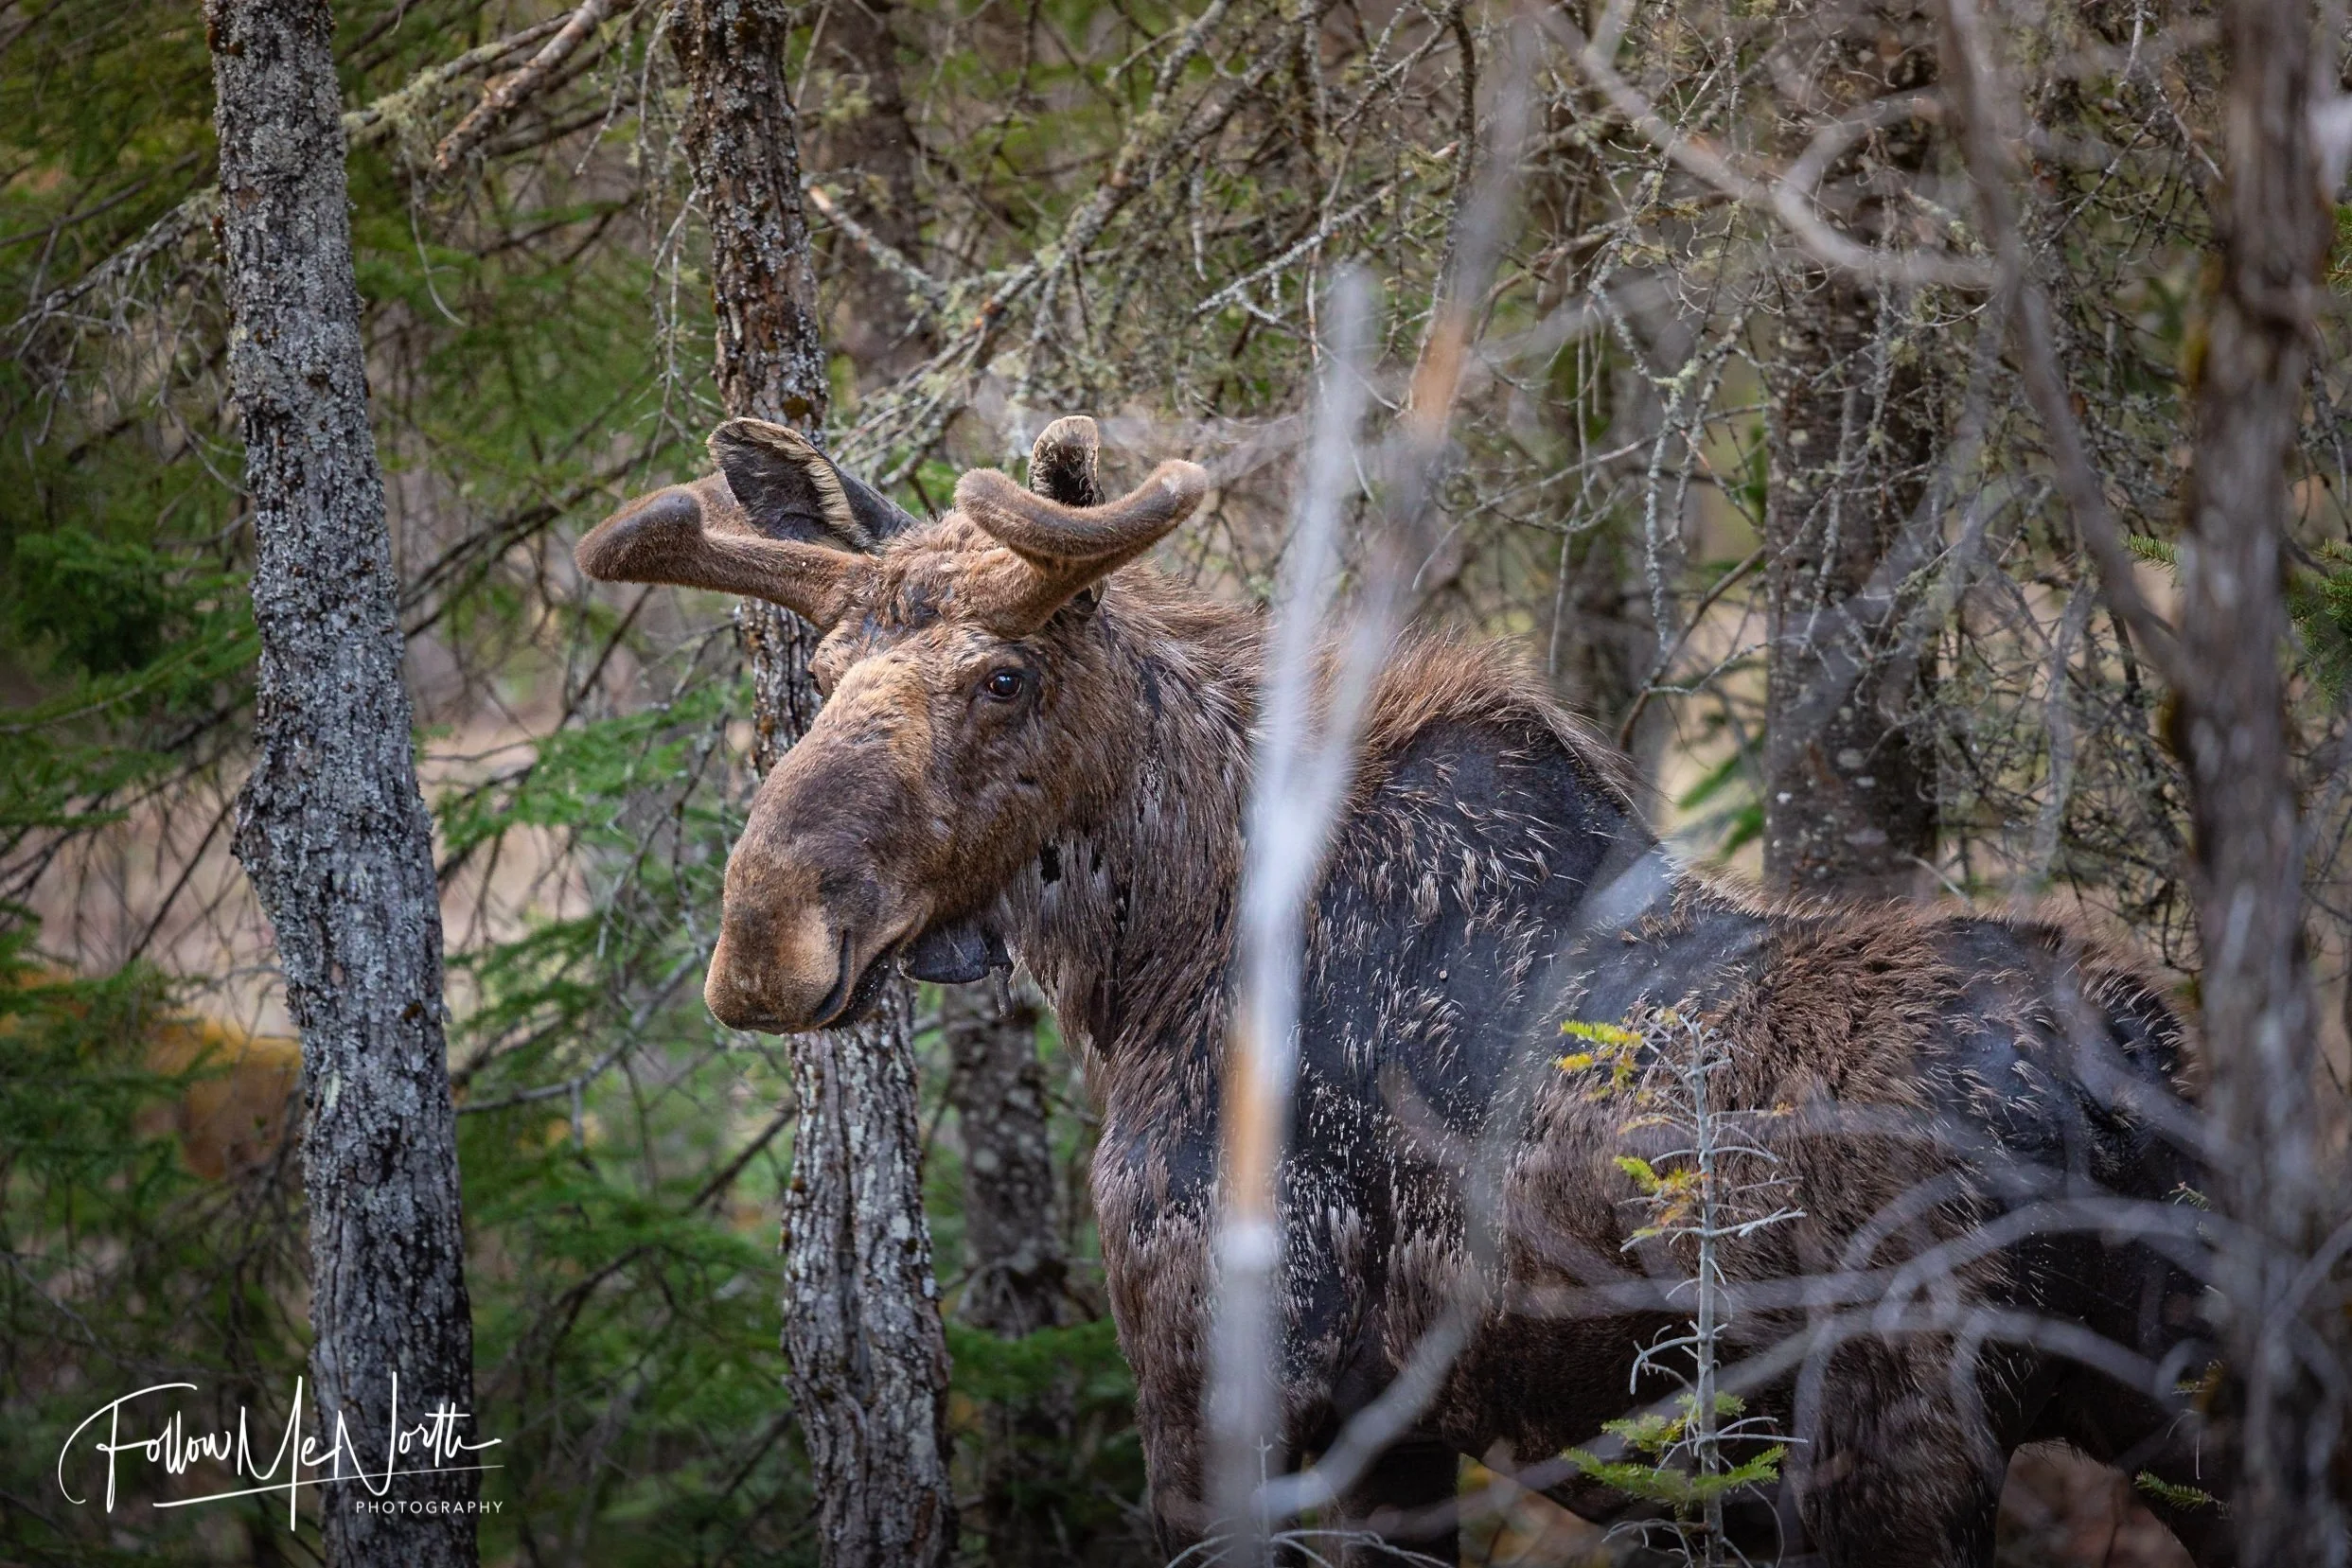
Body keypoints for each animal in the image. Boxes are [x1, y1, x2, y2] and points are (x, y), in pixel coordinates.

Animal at [574, 414, 2227, 1567]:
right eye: (821, 668)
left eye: (1004, 678)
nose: (766, 938)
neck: (1155, 966)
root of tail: (2127, 1075)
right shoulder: (1400, 1438)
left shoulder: (1221, 1386)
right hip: (2189, 1399)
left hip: (1893, 1447)